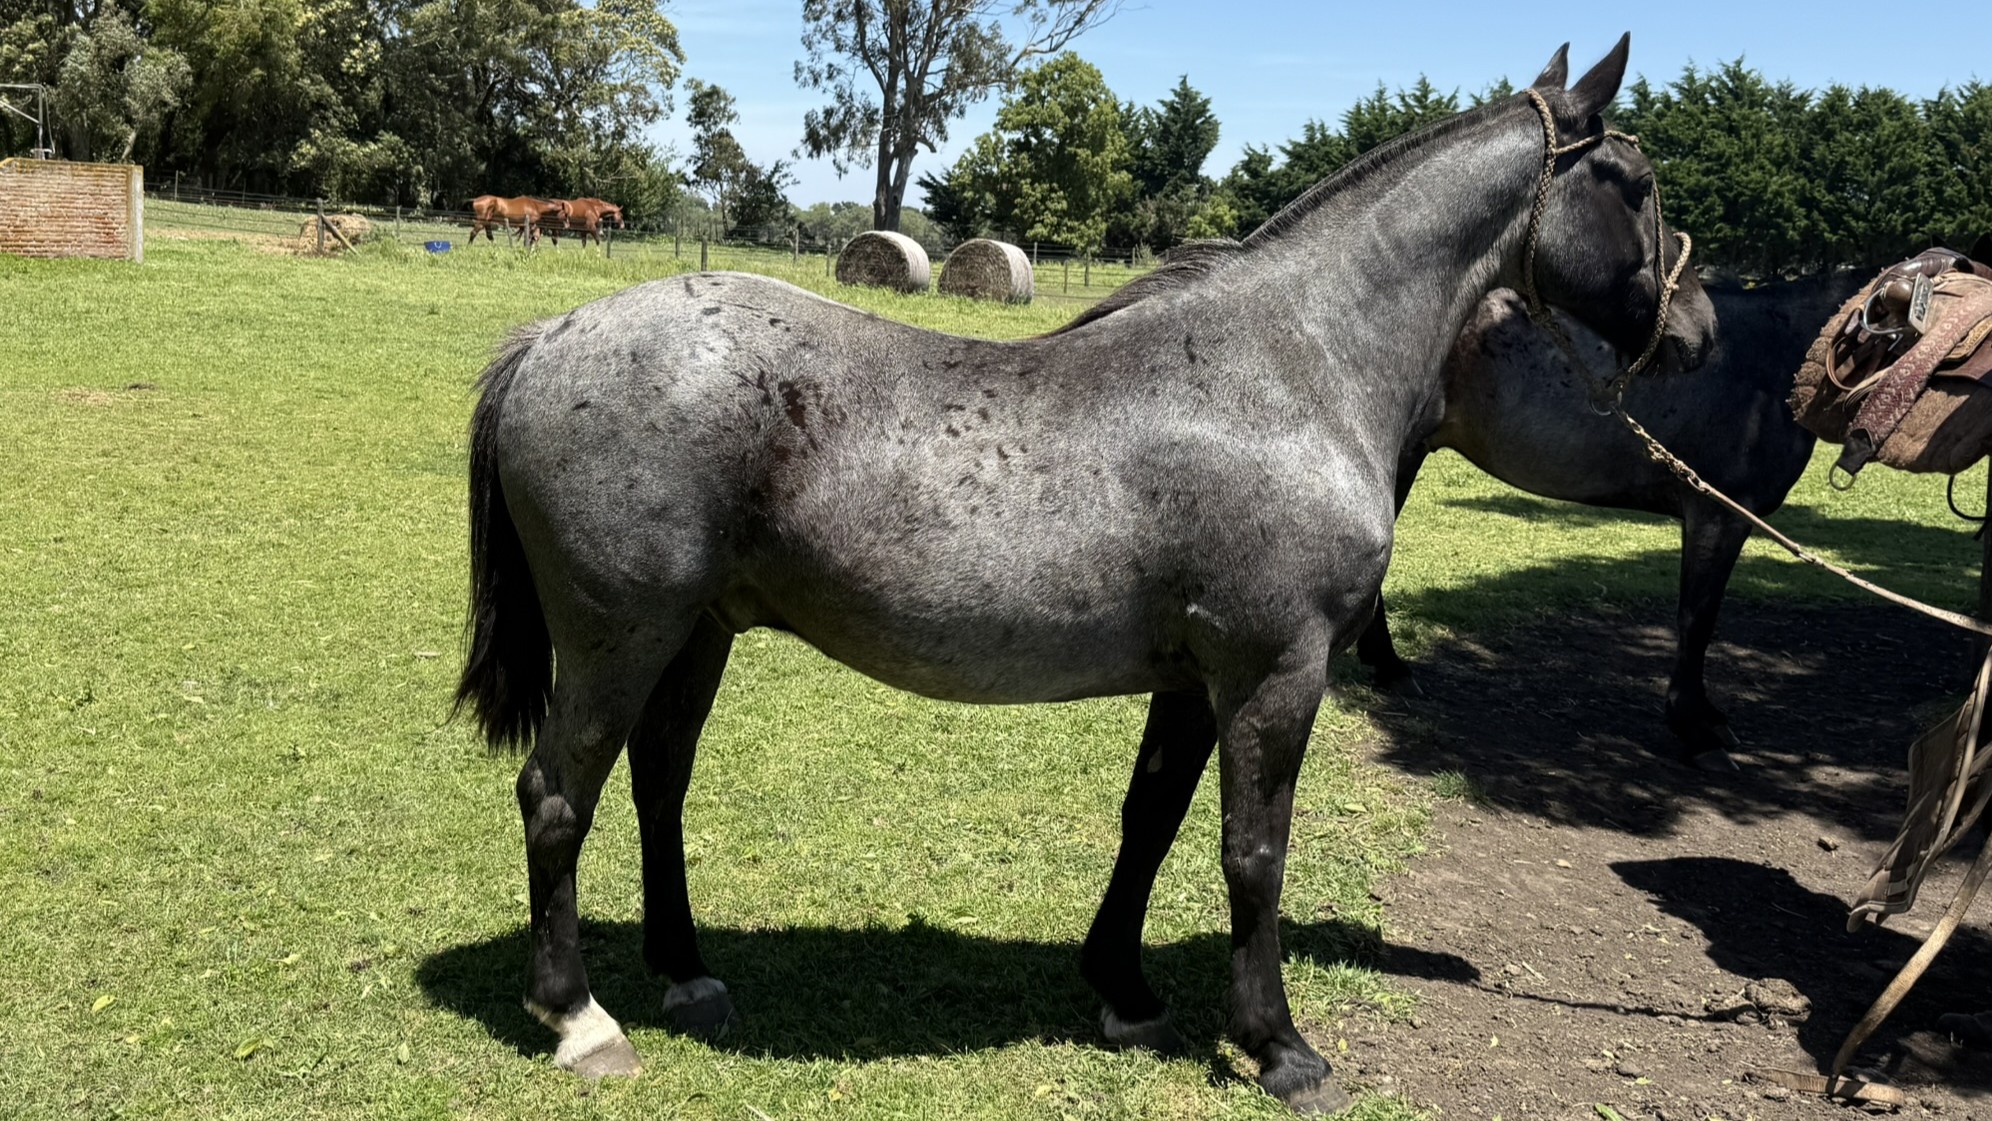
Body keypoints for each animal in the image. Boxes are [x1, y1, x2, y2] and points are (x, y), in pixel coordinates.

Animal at [453, 37, 1715, 1113]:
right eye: (1637, 184)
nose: (1697, 325)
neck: (1294, 369)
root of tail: (551, 335)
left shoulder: (1193, 677)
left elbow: (1149, 819)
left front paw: (1125, 989)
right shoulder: (1276, 670)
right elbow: (1253, 853)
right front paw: (1280, 1046)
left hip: (700, 630)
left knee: (658, 782)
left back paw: (686, 971)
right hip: (619, 638)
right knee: (557, 795)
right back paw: (579, 1017)